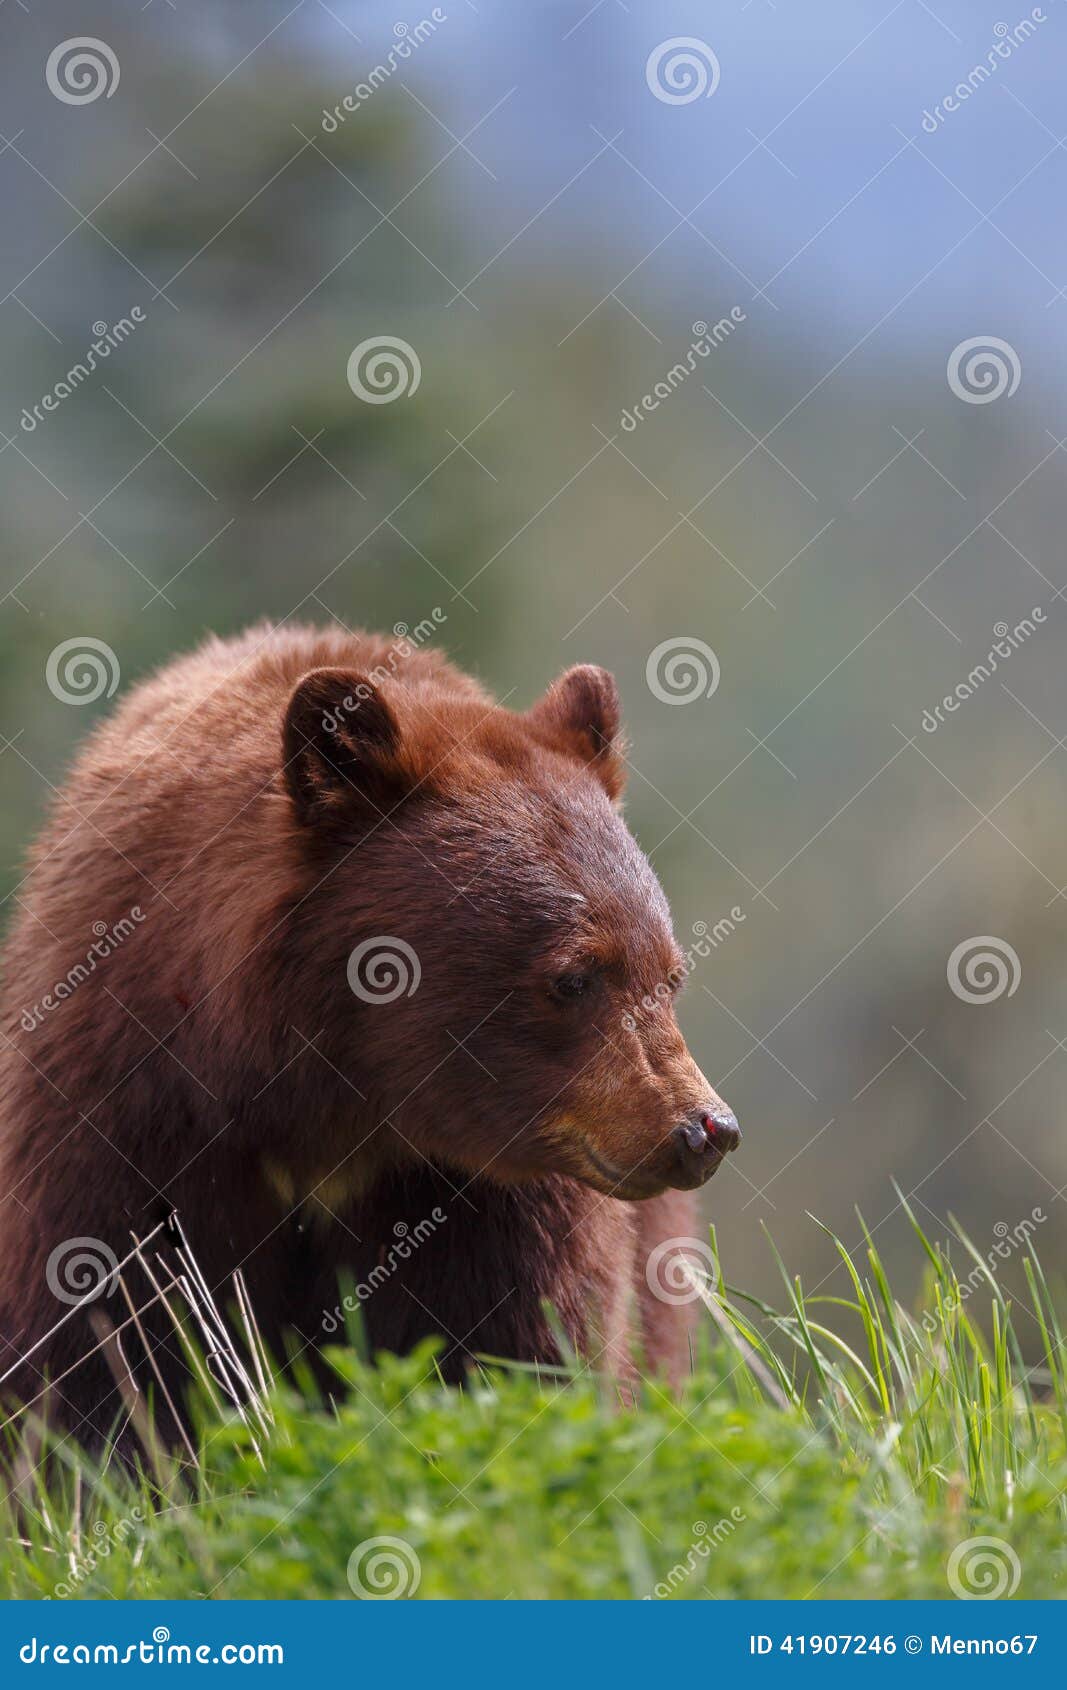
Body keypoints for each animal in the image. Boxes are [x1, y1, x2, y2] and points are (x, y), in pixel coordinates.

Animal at [0, 624, 740, 1448]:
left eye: (668, 974)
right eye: (575, 976)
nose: (701, 1130)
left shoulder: (485, 1189)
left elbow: (516, 1334)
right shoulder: (128, 1107)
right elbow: (109, 1327)